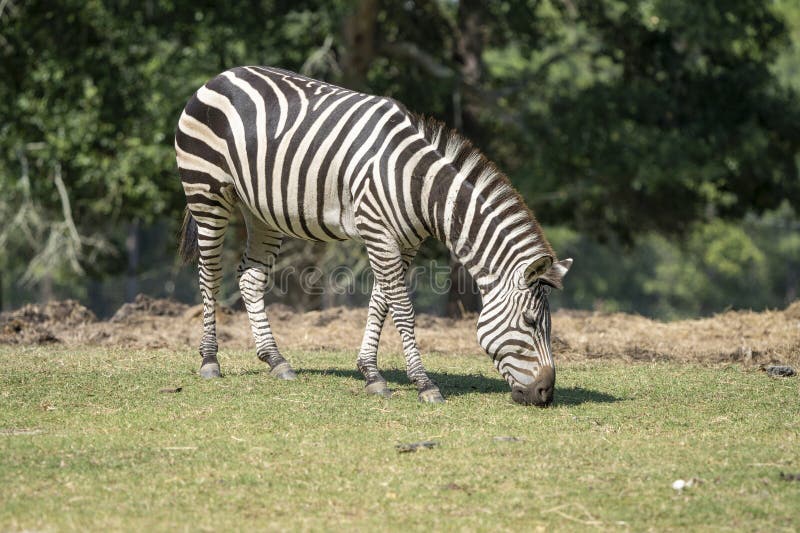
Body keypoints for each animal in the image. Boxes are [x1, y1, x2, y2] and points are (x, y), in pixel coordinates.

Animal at [175, 66, 572, 406]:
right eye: (530, 322)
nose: (546, 394)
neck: (418, 184)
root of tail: (222, 75)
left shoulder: (404, 242)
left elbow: (381, 302)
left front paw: (371, 374)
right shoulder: (378, 232)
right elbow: (403, 309)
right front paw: (424, 383)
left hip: (262, 211)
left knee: (251, 278)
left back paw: (276, 360)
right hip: (206, 191)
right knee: (209, 274)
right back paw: (210, 361)